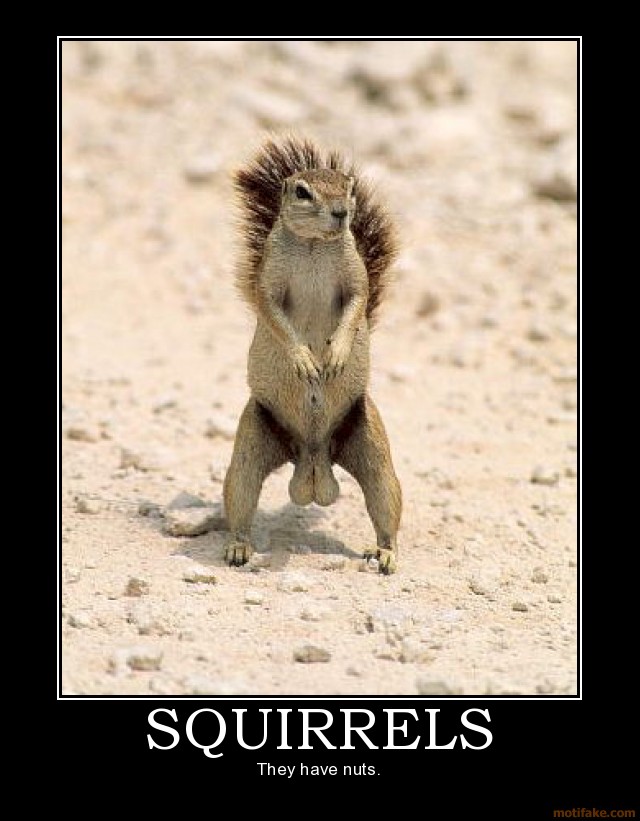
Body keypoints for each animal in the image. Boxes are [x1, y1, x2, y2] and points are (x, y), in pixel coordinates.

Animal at [223, 136, 402, 574]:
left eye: (349, 187)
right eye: (303, 192)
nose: (341, 212)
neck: (313, 246)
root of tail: (313, 457)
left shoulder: (356, 277)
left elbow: (357, 305)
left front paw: (335, 353)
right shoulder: (268, 283)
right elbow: (273, 314)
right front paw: (304, 359)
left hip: (371, 445)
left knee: (384, 503)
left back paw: (386, 553)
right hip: (251, 443)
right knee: (241, 497)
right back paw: (238, 548)